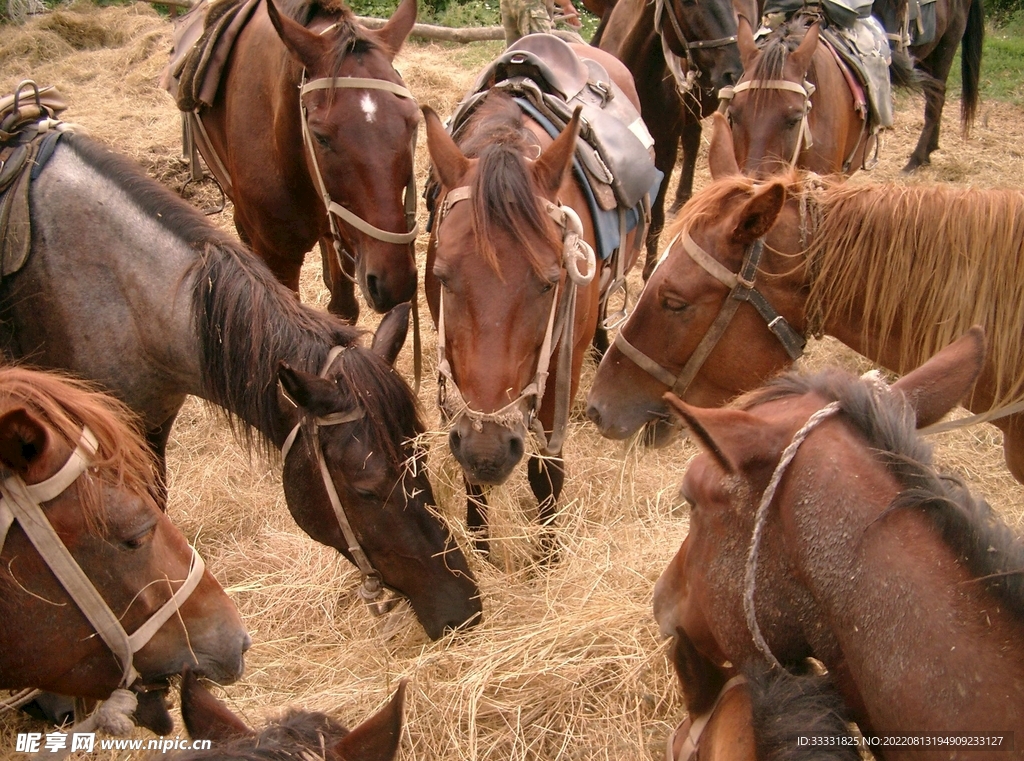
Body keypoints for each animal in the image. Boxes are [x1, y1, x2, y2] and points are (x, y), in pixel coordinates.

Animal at [171, 0, 420, 320]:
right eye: (320, 136)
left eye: (413, 123)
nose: (395, 282)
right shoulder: (278, 257)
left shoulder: (345, 240)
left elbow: (342, 310)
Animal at [421, 43, 644, 557]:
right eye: (443, 277)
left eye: (549, 283)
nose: (487, 451)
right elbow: (472, 478)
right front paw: (482, 547)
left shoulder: (562, 364)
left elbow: (547, 471)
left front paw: (547, 559)